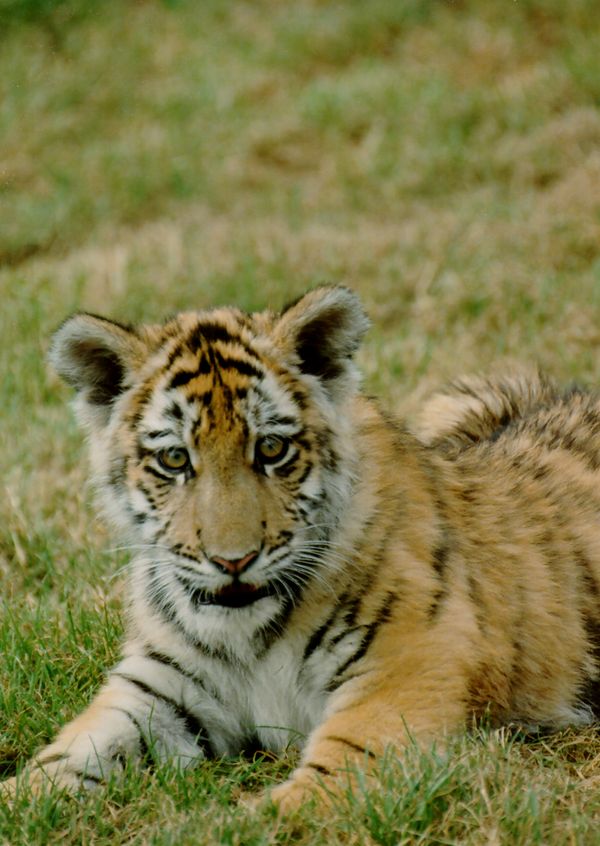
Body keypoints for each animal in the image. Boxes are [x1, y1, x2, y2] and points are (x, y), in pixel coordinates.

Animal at [2, 285, 600, 812]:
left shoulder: (403, 676)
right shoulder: (157, 691)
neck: (250, 636)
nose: (233, 561)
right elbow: (66, 757)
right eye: (174, 459)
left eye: (271, 449)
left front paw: (238, 822)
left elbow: (316, 787)